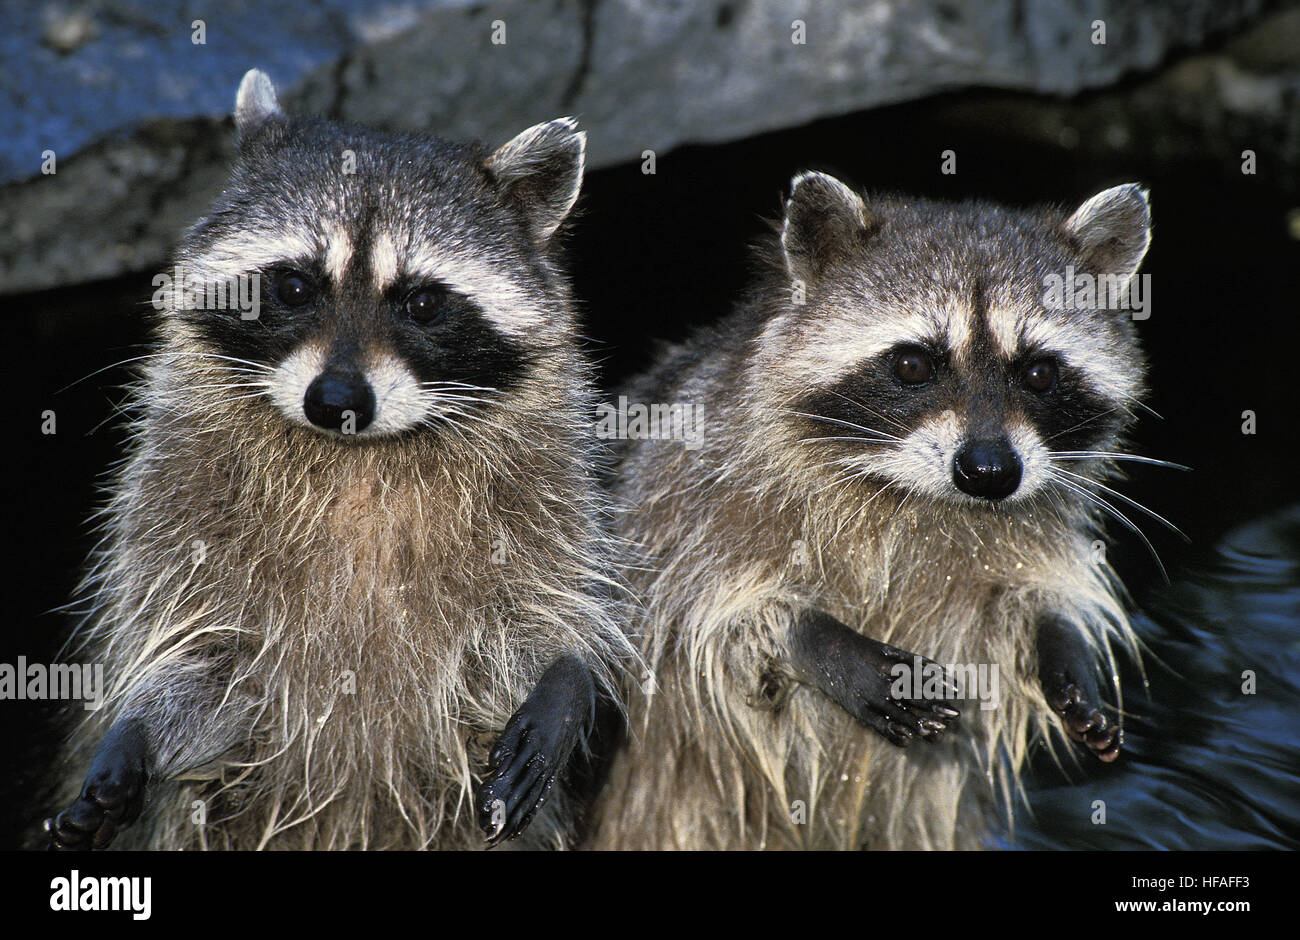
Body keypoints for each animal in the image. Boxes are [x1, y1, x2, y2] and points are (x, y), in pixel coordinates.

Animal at [45, 70, 633, 850]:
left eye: (422, 303)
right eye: (295, 287)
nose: (337, 401)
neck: (357, 461)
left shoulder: (548, 479)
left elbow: (541, 606)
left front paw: (565, 670)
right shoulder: (175, 487)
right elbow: (206, 660)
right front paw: (139, 726)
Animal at [586, 173, 1154, 850]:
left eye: (1040, 373)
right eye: (913, 364)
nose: (989, 472)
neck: (918, 499)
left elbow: (1025, 602)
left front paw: (1058, 647)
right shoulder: (681, 490)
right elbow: (695, 615)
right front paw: (812, 639)